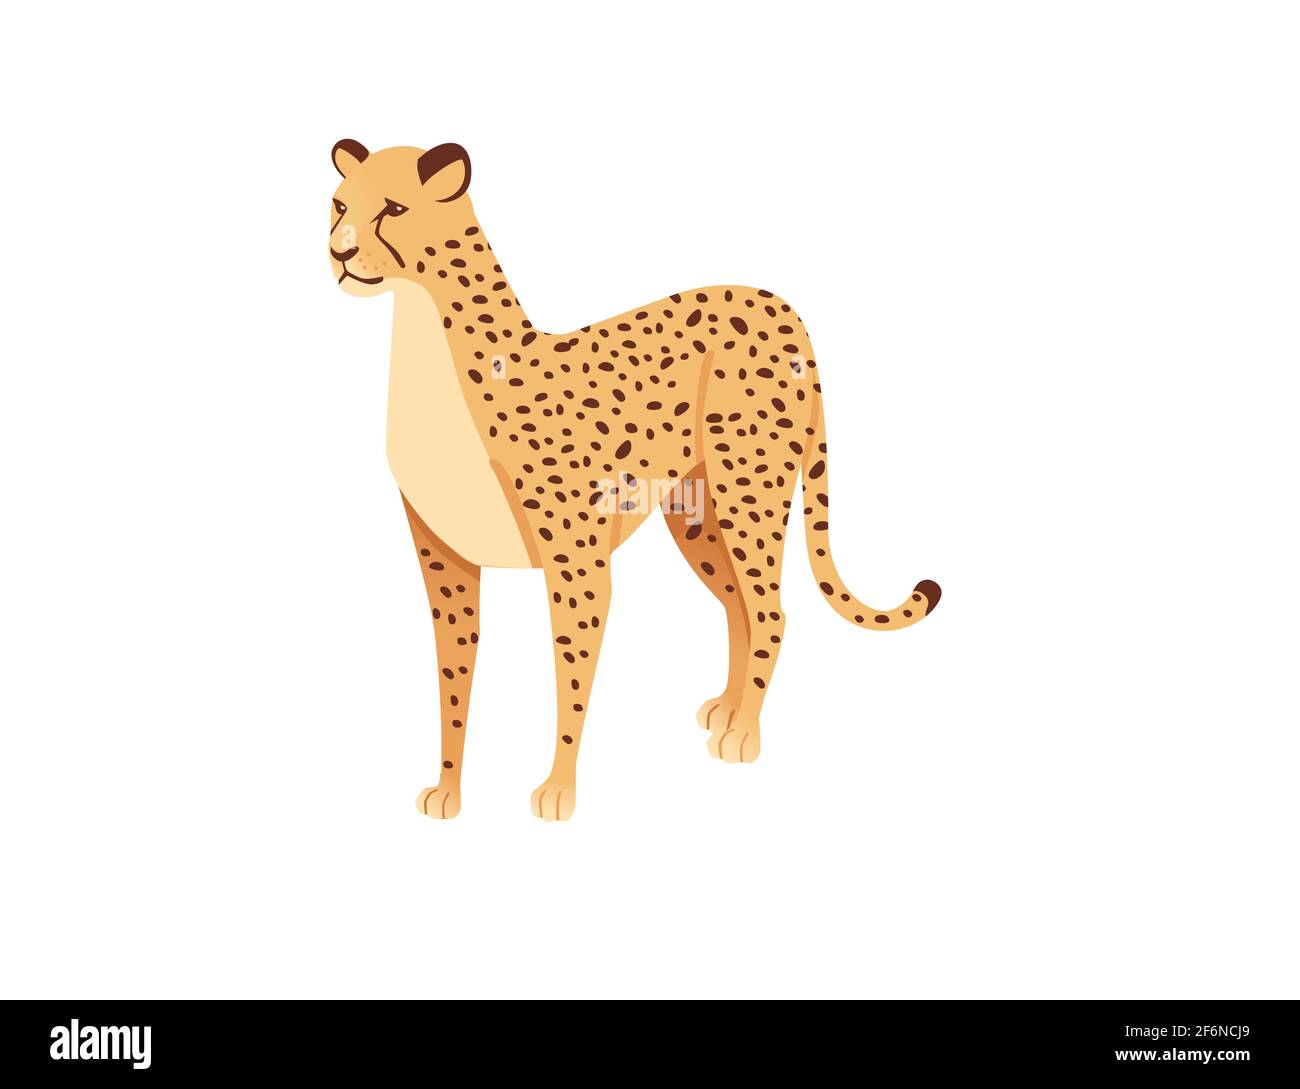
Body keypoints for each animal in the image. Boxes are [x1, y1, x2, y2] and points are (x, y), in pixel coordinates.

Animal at [328, 139, 941, 821]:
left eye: (393, 208)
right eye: (339, 204)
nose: (340, 249)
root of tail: (780, 303)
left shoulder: (578, 565)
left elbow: (569, 680)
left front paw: (558, 790)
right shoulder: (445, 560)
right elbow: (452, 683)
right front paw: (448, 791)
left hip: (749, 492)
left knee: (770, 611)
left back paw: (744, 735)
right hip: (698, 514)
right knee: (738, 605)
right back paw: (727, 709)